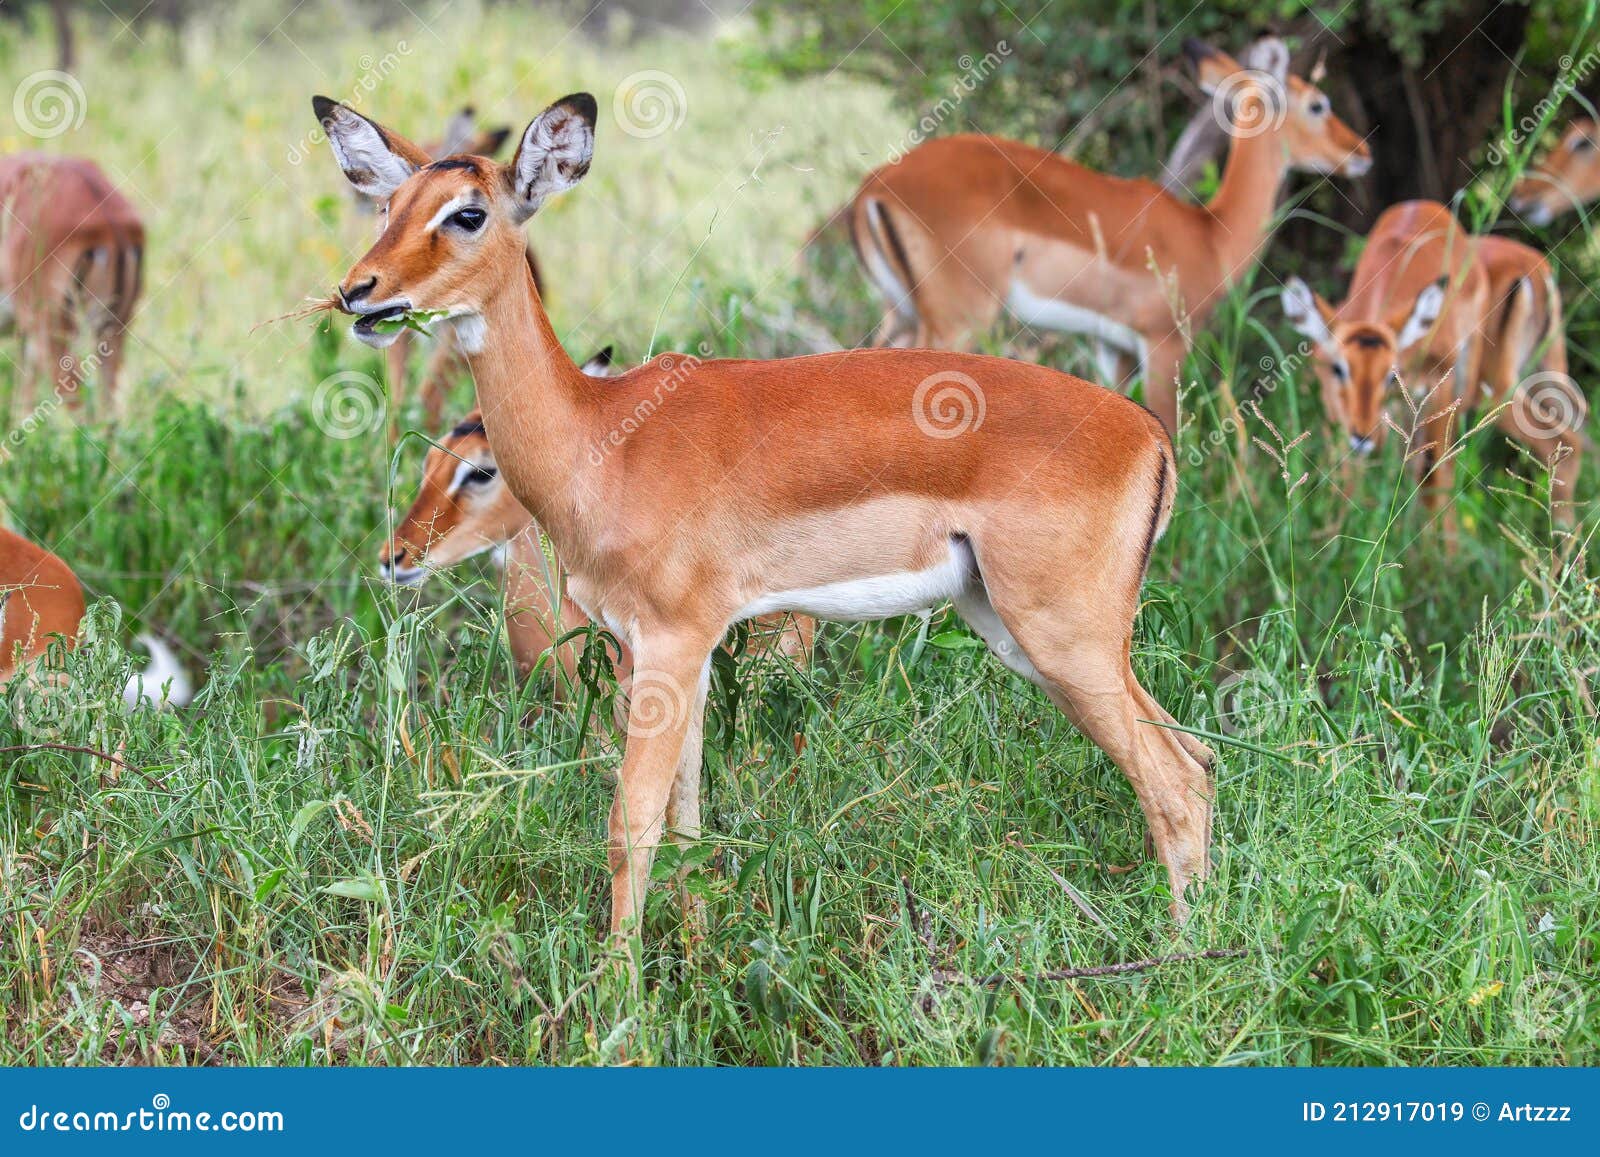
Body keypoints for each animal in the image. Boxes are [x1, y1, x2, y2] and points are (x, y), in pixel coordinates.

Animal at [846, 36, 1371, 433]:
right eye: (1318, 104)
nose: (1362, 152)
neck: (1210, 235)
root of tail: (874, 185)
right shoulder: (1163, 344)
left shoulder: (1111, 346)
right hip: (957, 322)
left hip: (900, 315)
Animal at [1280, 200, 1582, 543]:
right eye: (1338, 368)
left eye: (1391, 375)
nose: (1364, 435)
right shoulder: (1338, 408)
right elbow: (1348, 474)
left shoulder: (1439, 391)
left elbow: (1435, 476)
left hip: (1488, 388)